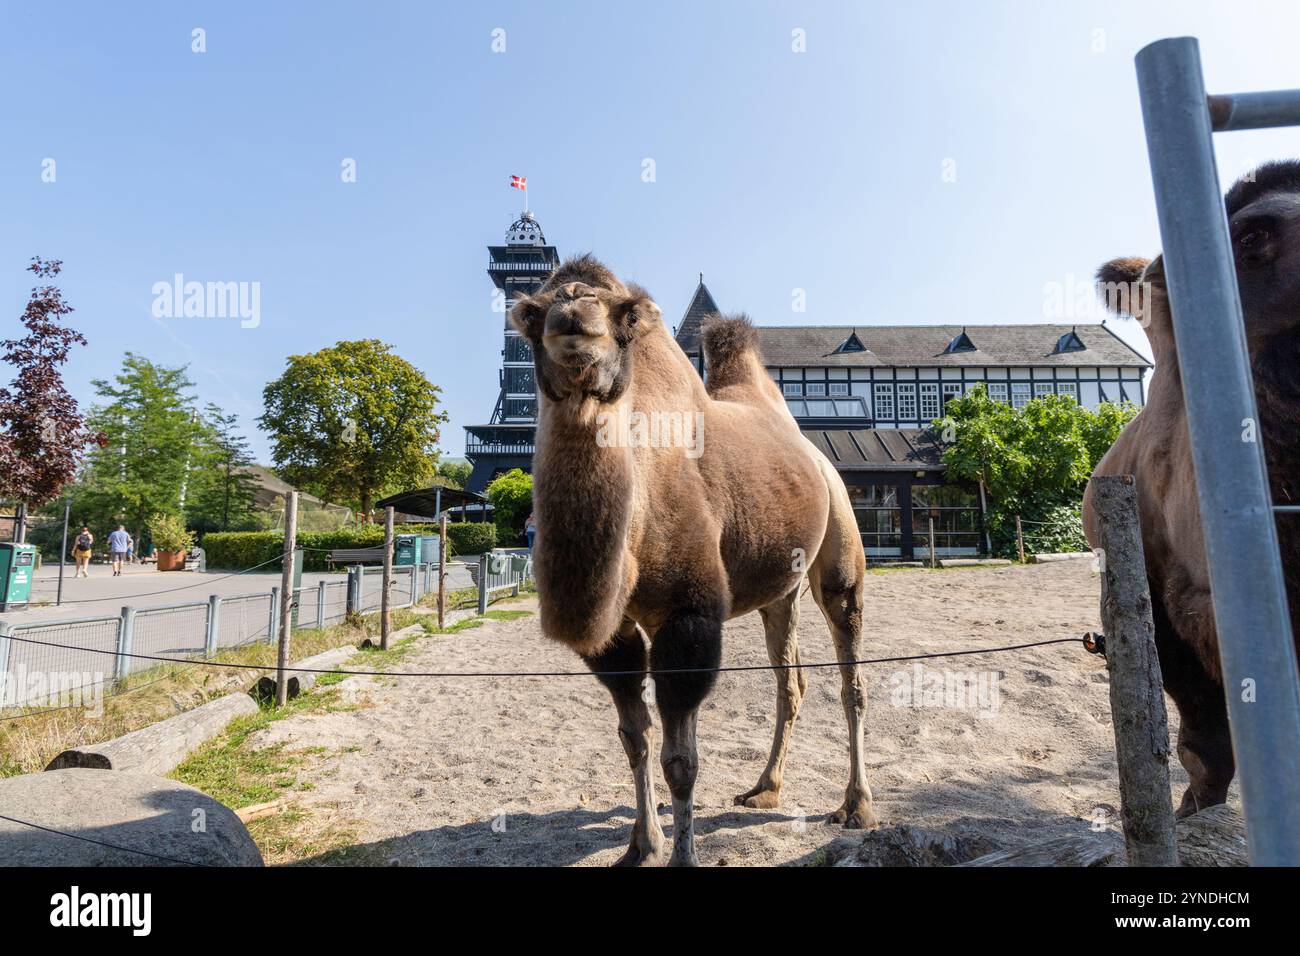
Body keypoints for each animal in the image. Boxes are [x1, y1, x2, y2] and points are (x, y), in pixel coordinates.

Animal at [510, 255, 875, 866]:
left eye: (627, 315)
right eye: (532, 314)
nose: (575, 309)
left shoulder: (688, 616)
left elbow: (681, 762)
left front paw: (679, 852)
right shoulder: (613, 636)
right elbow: (634, 738)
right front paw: (642, 842)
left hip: (840, 541)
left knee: (851, 676)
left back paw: (856, 806)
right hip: (779, 591)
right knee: (789, 681)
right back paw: (765, 788)